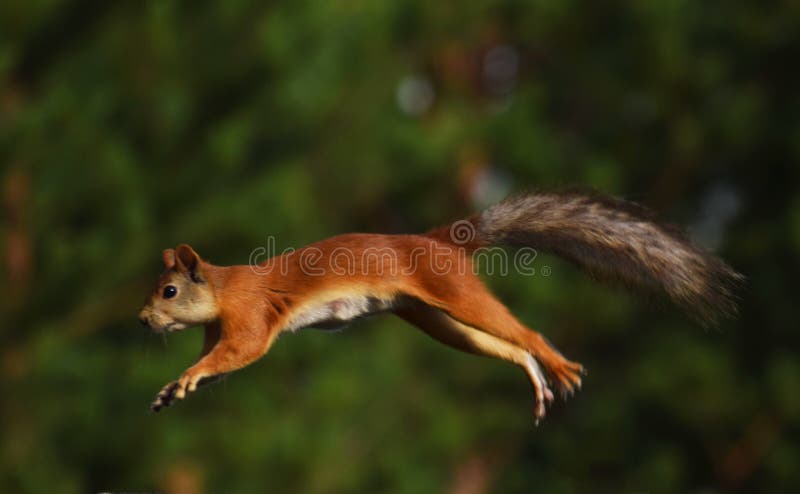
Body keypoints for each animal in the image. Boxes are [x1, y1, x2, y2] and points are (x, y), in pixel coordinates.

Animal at [139, 191, 742, 422]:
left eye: (169, 291)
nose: (143, 319)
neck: (220, 289)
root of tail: (440, 240)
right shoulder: (216, 332)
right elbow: (217, 365)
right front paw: (174, 387)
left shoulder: (249, 317)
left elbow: (241, 351)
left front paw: (184, 377)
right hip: (433, 318)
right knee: (505, 346)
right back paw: (534, 374)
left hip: (452, 290)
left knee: (524, 334)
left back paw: (559, 365)